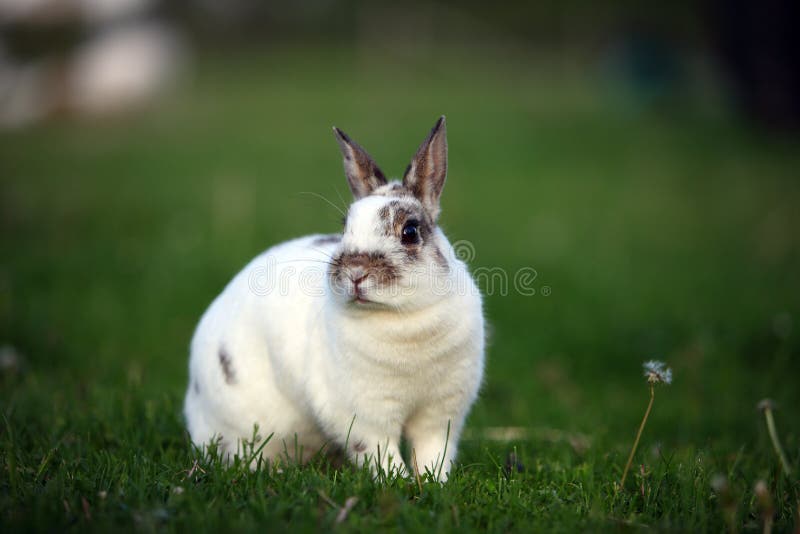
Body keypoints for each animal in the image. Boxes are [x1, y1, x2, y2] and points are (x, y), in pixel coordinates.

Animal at [184, 116, 485, 481]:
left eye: (410, 231)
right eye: (345, 227)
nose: (356, 273)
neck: (402, 316)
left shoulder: (441, 414)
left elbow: (433, 451)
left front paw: (432, 481)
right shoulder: (364, 416)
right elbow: (381, 453)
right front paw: (400, 482)